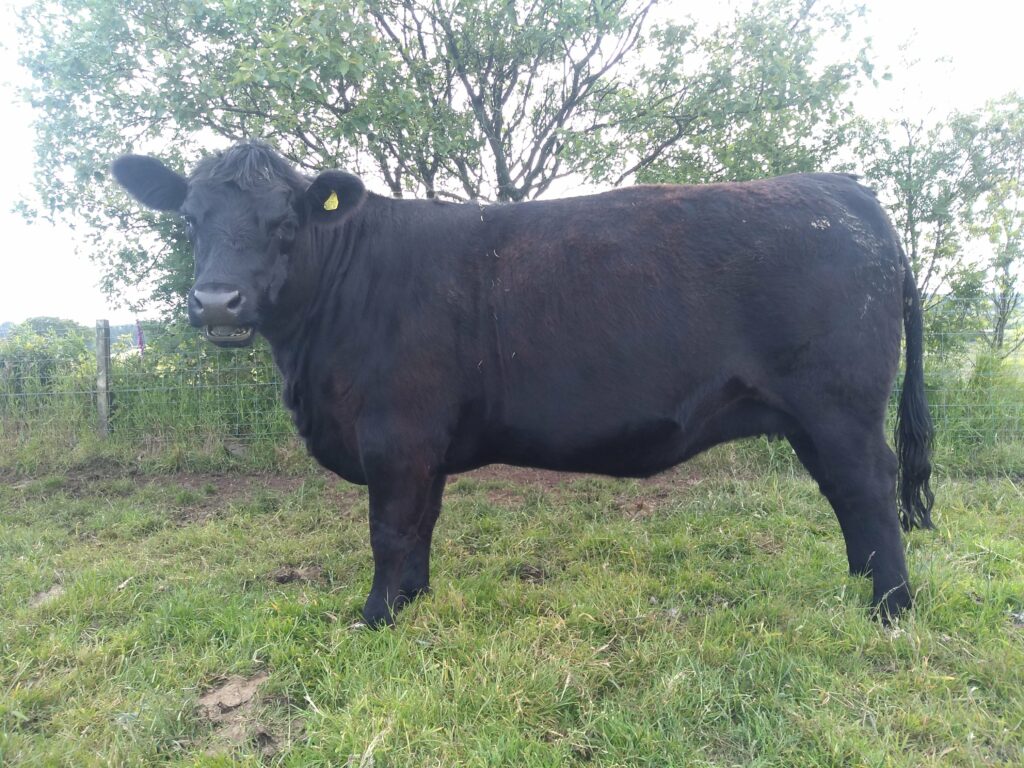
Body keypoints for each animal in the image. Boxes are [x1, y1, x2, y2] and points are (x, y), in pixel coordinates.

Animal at [112, 141, 934, 628]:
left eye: (285, 223)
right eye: (189, 219)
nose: (217, 302)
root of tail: (846, 192)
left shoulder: (396, 435)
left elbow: (389, 528)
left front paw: (376, 617)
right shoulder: (422, 446)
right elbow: (419, 527)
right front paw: (414, 601)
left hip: (840, 406)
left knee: (870, 485)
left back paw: (890, 607)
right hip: (811, 416)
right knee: (846, 494)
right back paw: (859, 583)